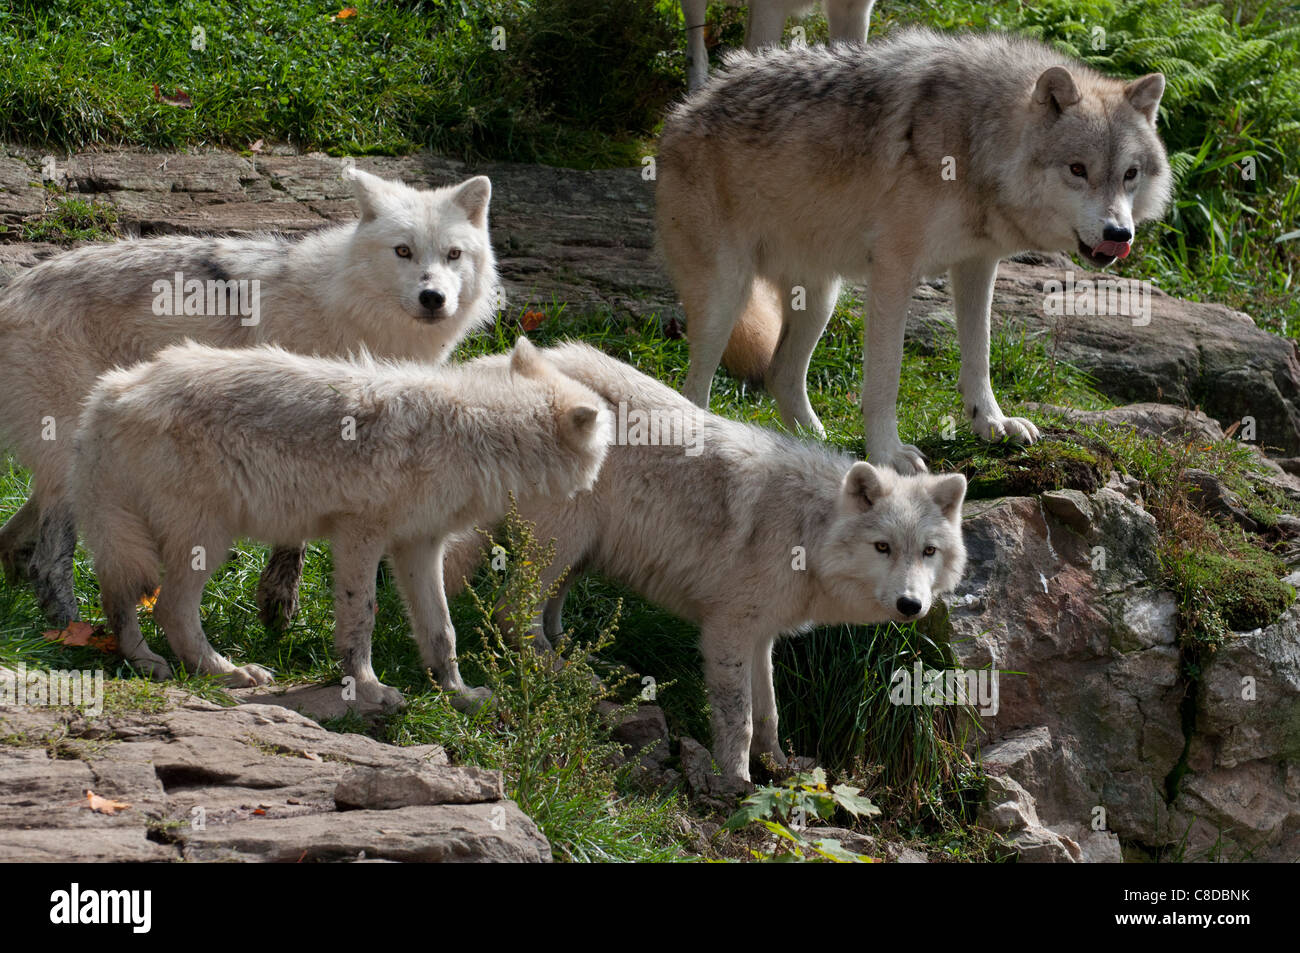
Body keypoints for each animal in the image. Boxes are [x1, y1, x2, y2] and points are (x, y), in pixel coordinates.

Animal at [0, 167, 497, 627]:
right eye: (403, 251)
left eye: (453, 255)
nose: (433, 298)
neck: (348, 312)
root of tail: (13, 289)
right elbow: (295, 540)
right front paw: (278, 604)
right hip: (70, 453)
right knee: (50, 554)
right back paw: (70, 625)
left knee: (20, 532)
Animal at [72, 338, 611, 709]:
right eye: (604, 451)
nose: (599, 487)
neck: (473, 435)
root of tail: (108, 395)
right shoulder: (360, 536)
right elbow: (362, 619)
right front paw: (369, 690)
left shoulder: (419, 545)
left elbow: (443, 631)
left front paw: (459, 694)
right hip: (206, 540)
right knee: (168, 608)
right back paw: (224, 671)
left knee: (117, 596)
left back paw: (145, 661)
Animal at [445, 342, 967, 786]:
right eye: (882, 547)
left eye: (928, 551)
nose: (911, 605)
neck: (806, 530)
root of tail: (490, 367)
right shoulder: (725, 631)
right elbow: (739, 715)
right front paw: (736, 782)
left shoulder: (760, 635)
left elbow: (769, 712)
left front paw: (778, 766)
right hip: (561, 543)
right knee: (510, 613)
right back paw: (562, 674)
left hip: (581, 551)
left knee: (546, 612)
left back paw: (580, 659)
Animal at [658, 29, 1171, 474]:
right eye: (1077, 169)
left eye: (1129, 174)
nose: (1119, 233)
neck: (976, 141)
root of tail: (683, 111)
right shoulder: (893, 271)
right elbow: (885, 379)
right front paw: (887, 453)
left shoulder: (978, 265)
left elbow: (979, 355)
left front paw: (992, 423)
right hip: (727, 298)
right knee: (694, 386)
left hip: (819, 300)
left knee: (780, 373)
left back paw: (815, 444)